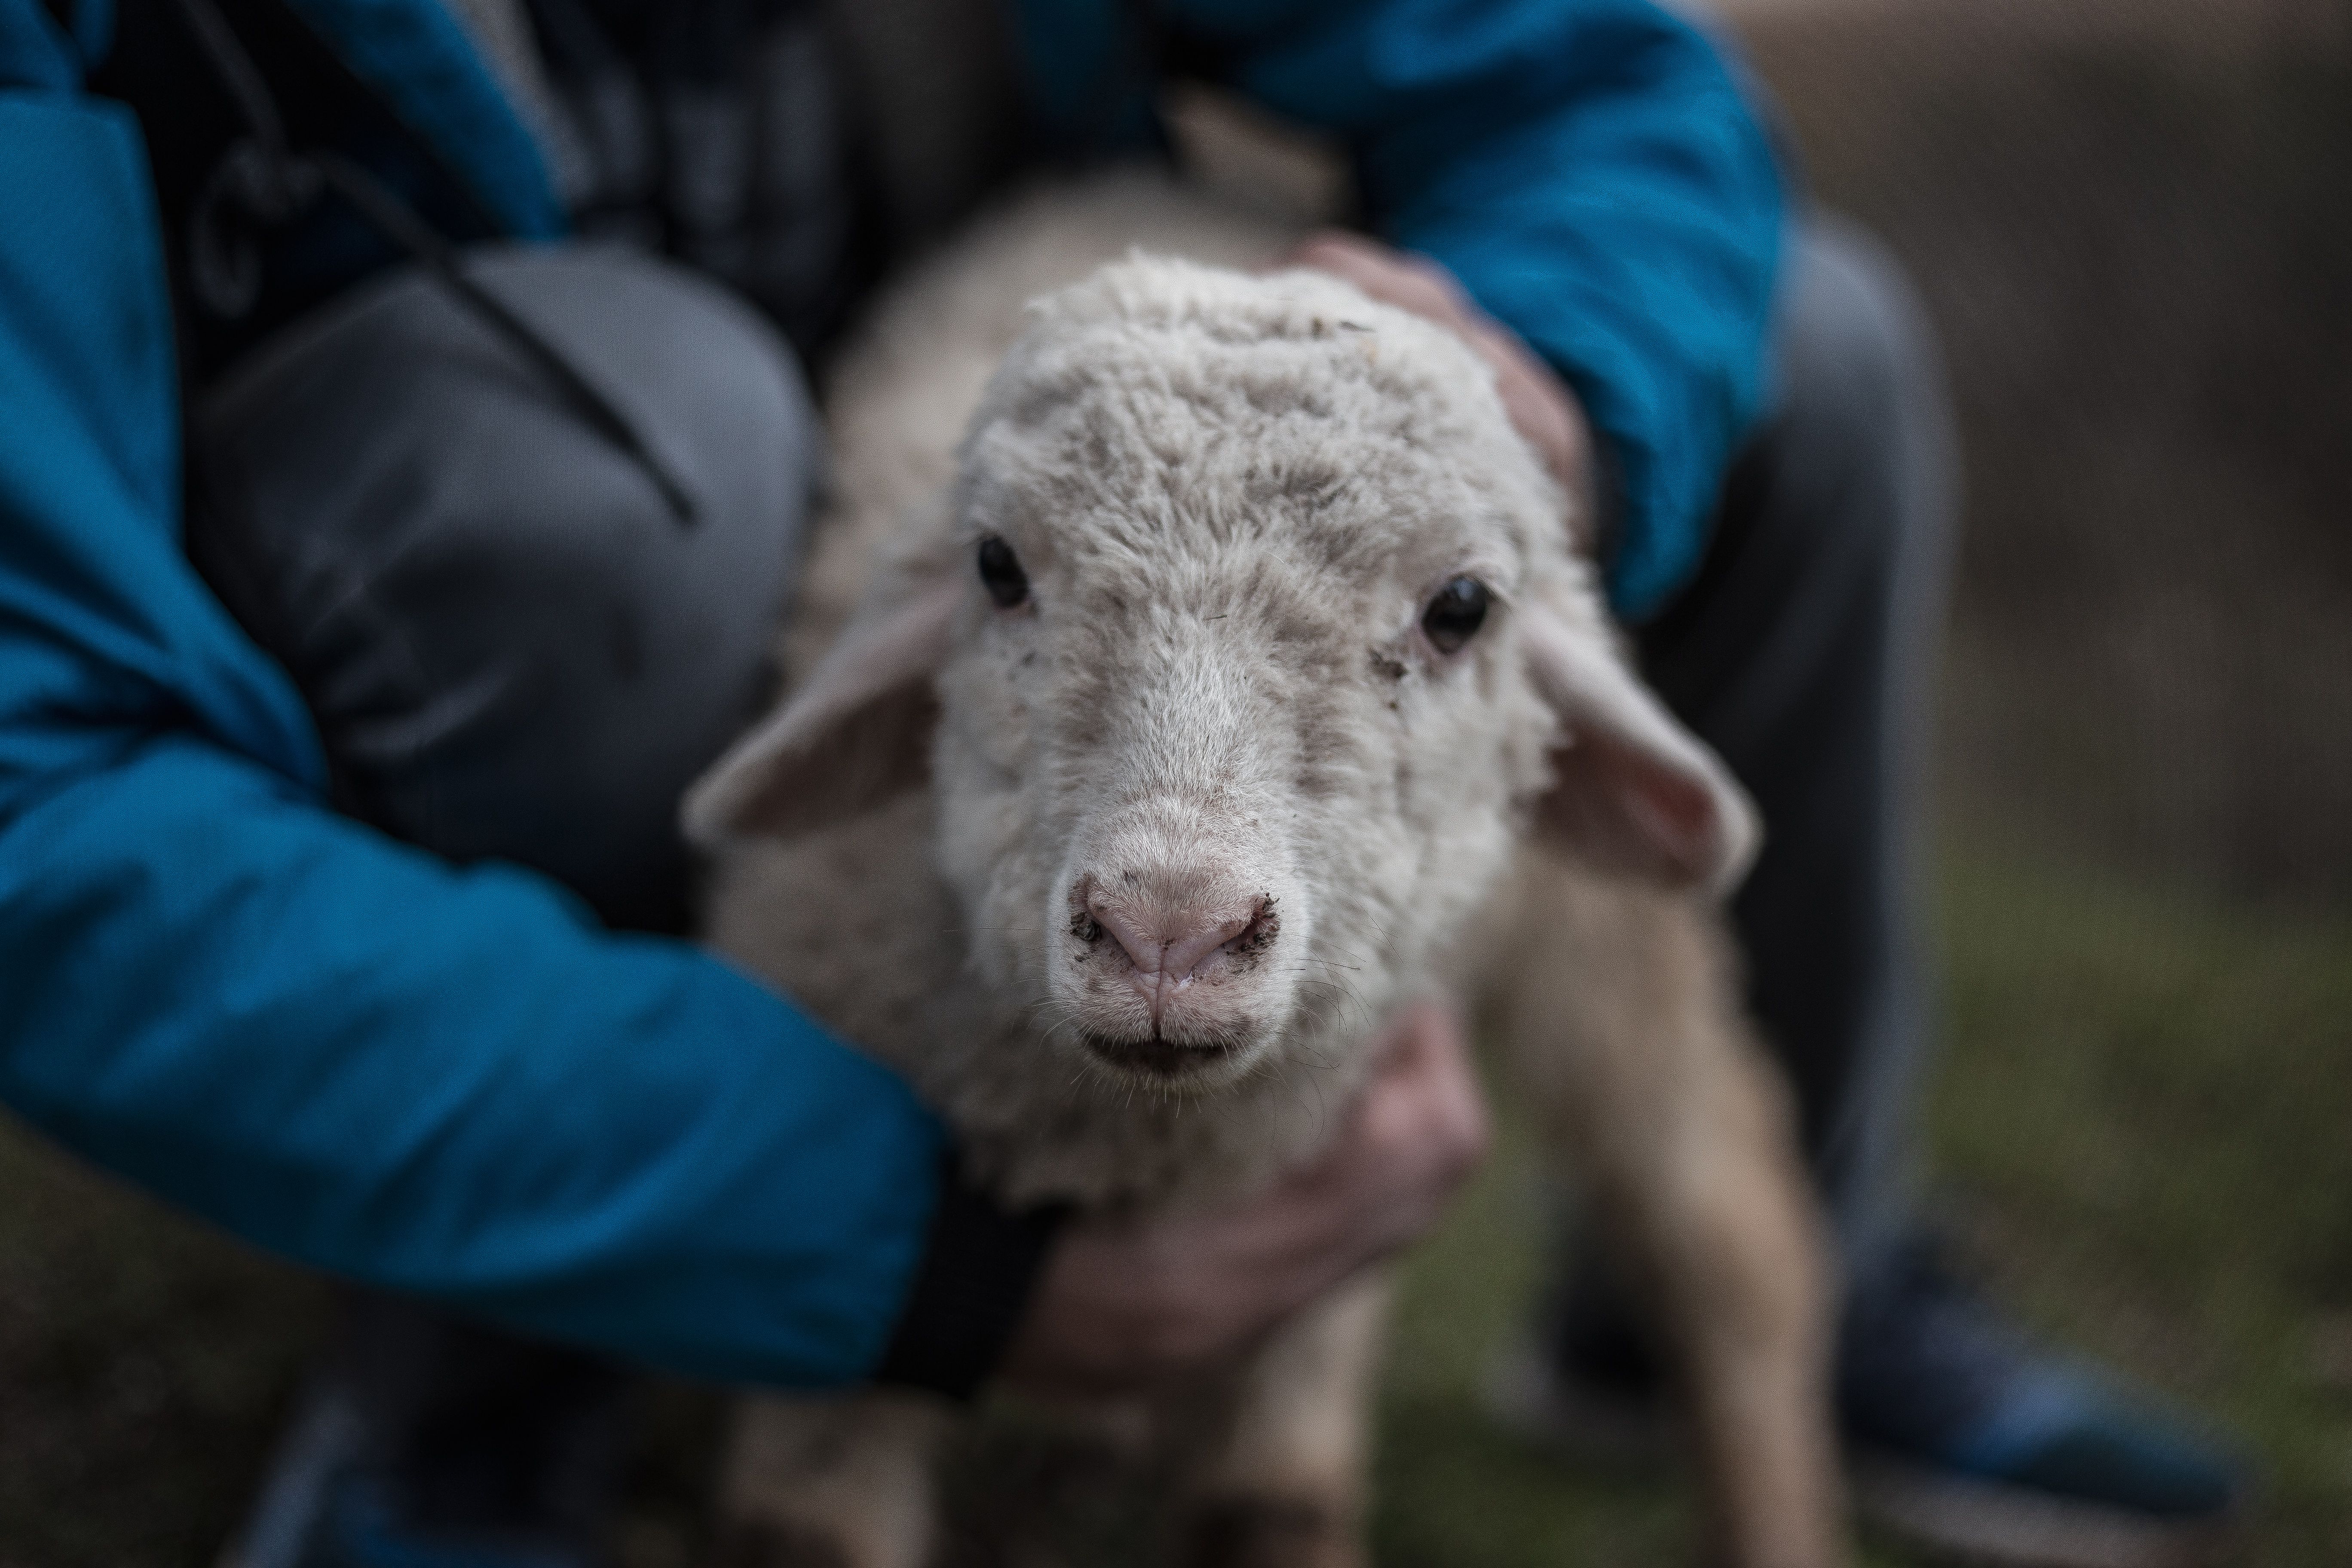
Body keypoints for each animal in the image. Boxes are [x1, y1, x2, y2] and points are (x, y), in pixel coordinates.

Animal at [683, 173, 1840, 1568]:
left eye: (1461, 607)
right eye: (996, 567)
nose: (1167, 935)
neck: (1145, 1148)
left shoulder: (1319, 1236)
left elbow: (1273, 1501)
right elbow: (810, 1524)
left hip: (1589, 930)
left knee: (1726, 1220)